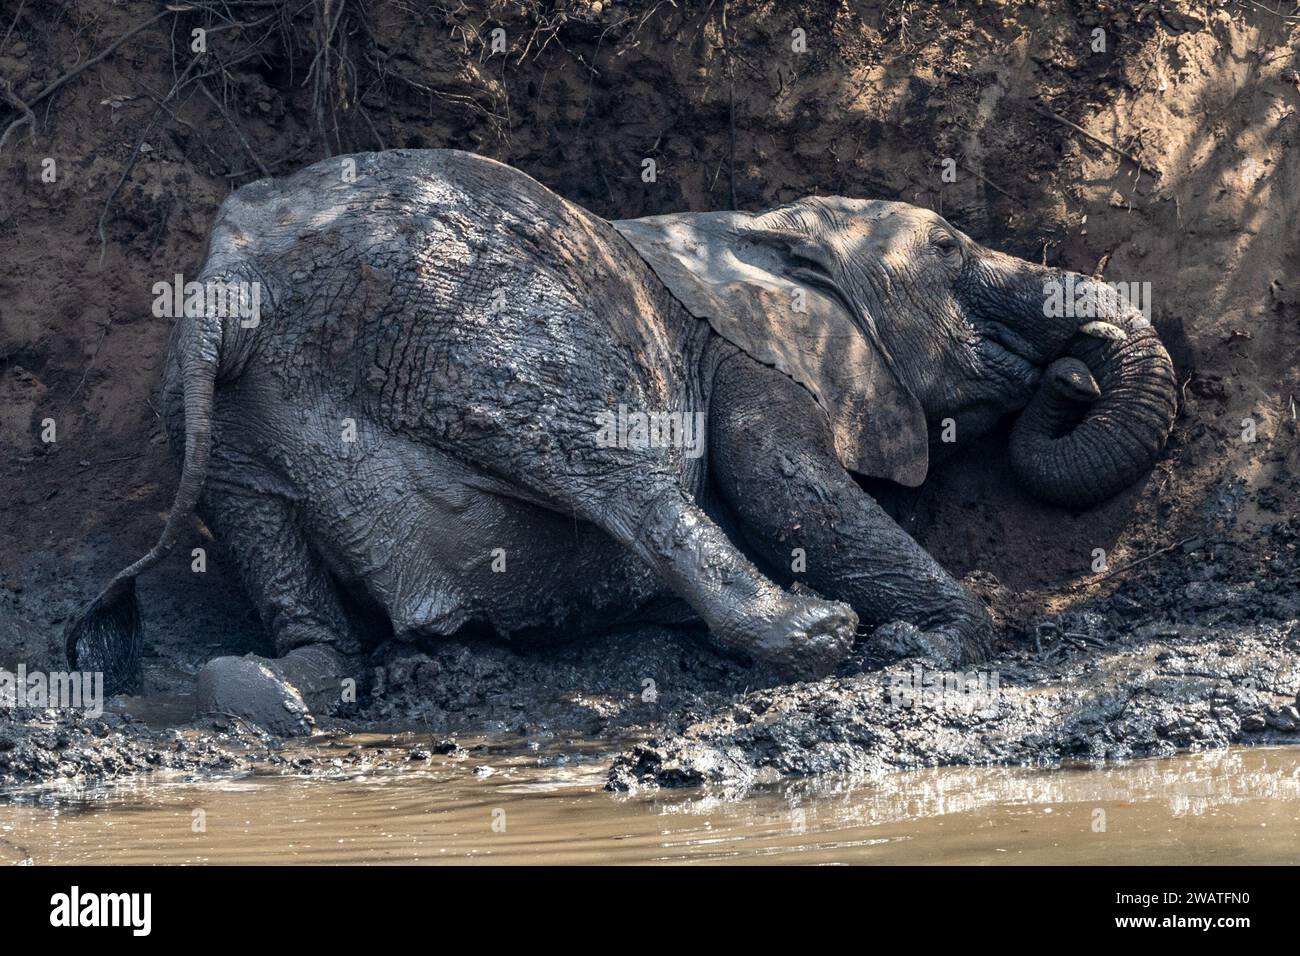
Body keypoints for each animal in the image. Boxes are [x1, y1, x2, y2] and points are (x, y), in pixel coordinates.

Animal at [65, 149, 1177, 733]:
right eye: (947, 248)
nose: (1070, 377)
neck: (767, 224)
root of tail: (234, 278)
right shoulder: (743, 356)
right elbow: (784, 483)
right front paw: (937, 640)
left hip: (213, 413)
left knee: (261, 533)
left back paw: (286, 689)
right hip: (489, 320)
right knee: (618, 470)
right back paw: (816, 636)